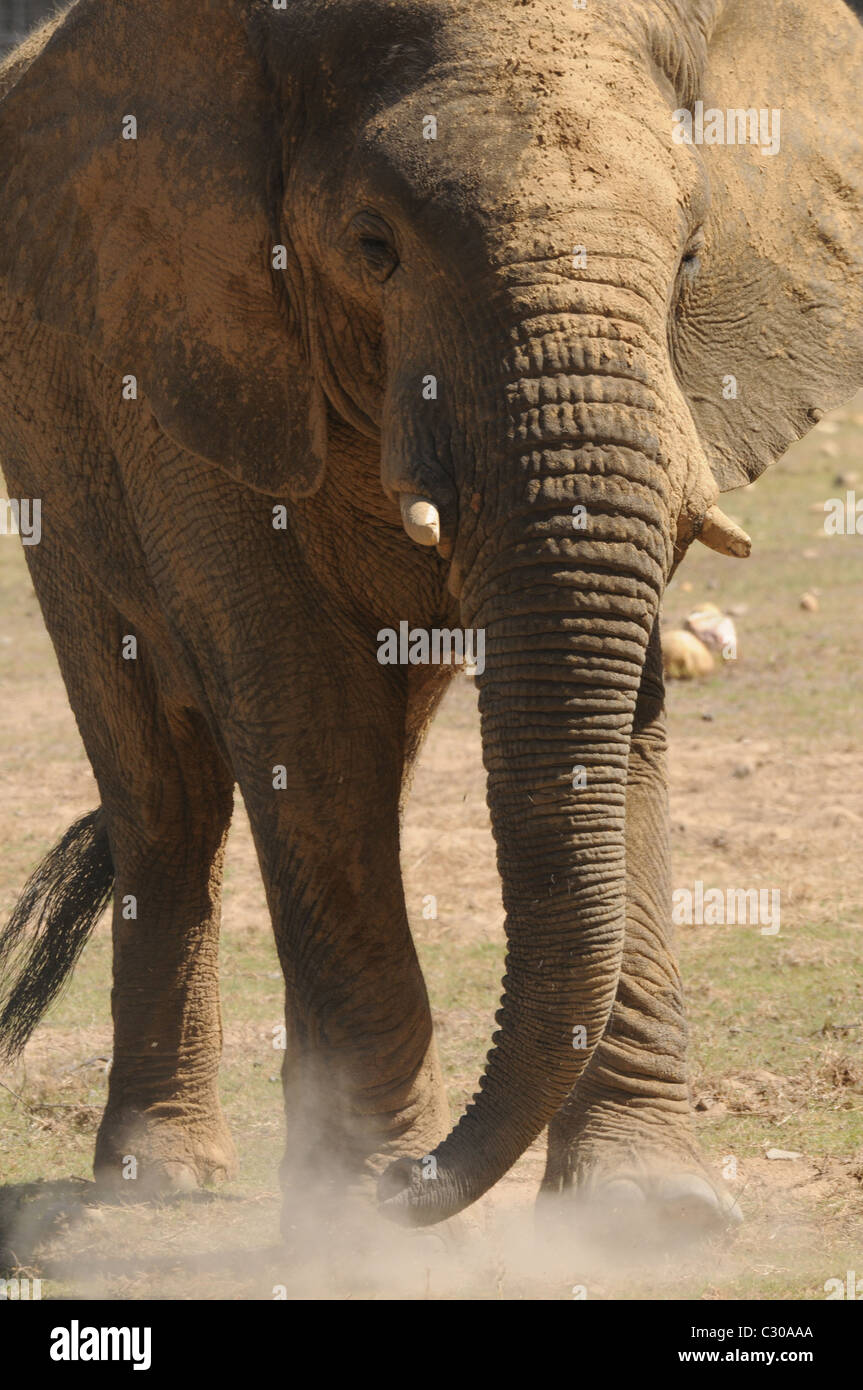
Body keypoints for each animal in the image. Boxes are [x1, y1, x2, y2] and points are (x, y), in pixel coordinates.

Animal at [0, 0, 861, 1236]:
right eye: (373, 247)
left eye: (693, 252)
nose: (417, 1182)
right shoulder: (187, 348)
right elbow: (299, 700)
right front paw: (359, 1214)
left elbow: (615, 703)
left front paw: (647, 1215)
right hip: (53, 465)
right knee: (166, 787)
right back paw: (160, 1178)